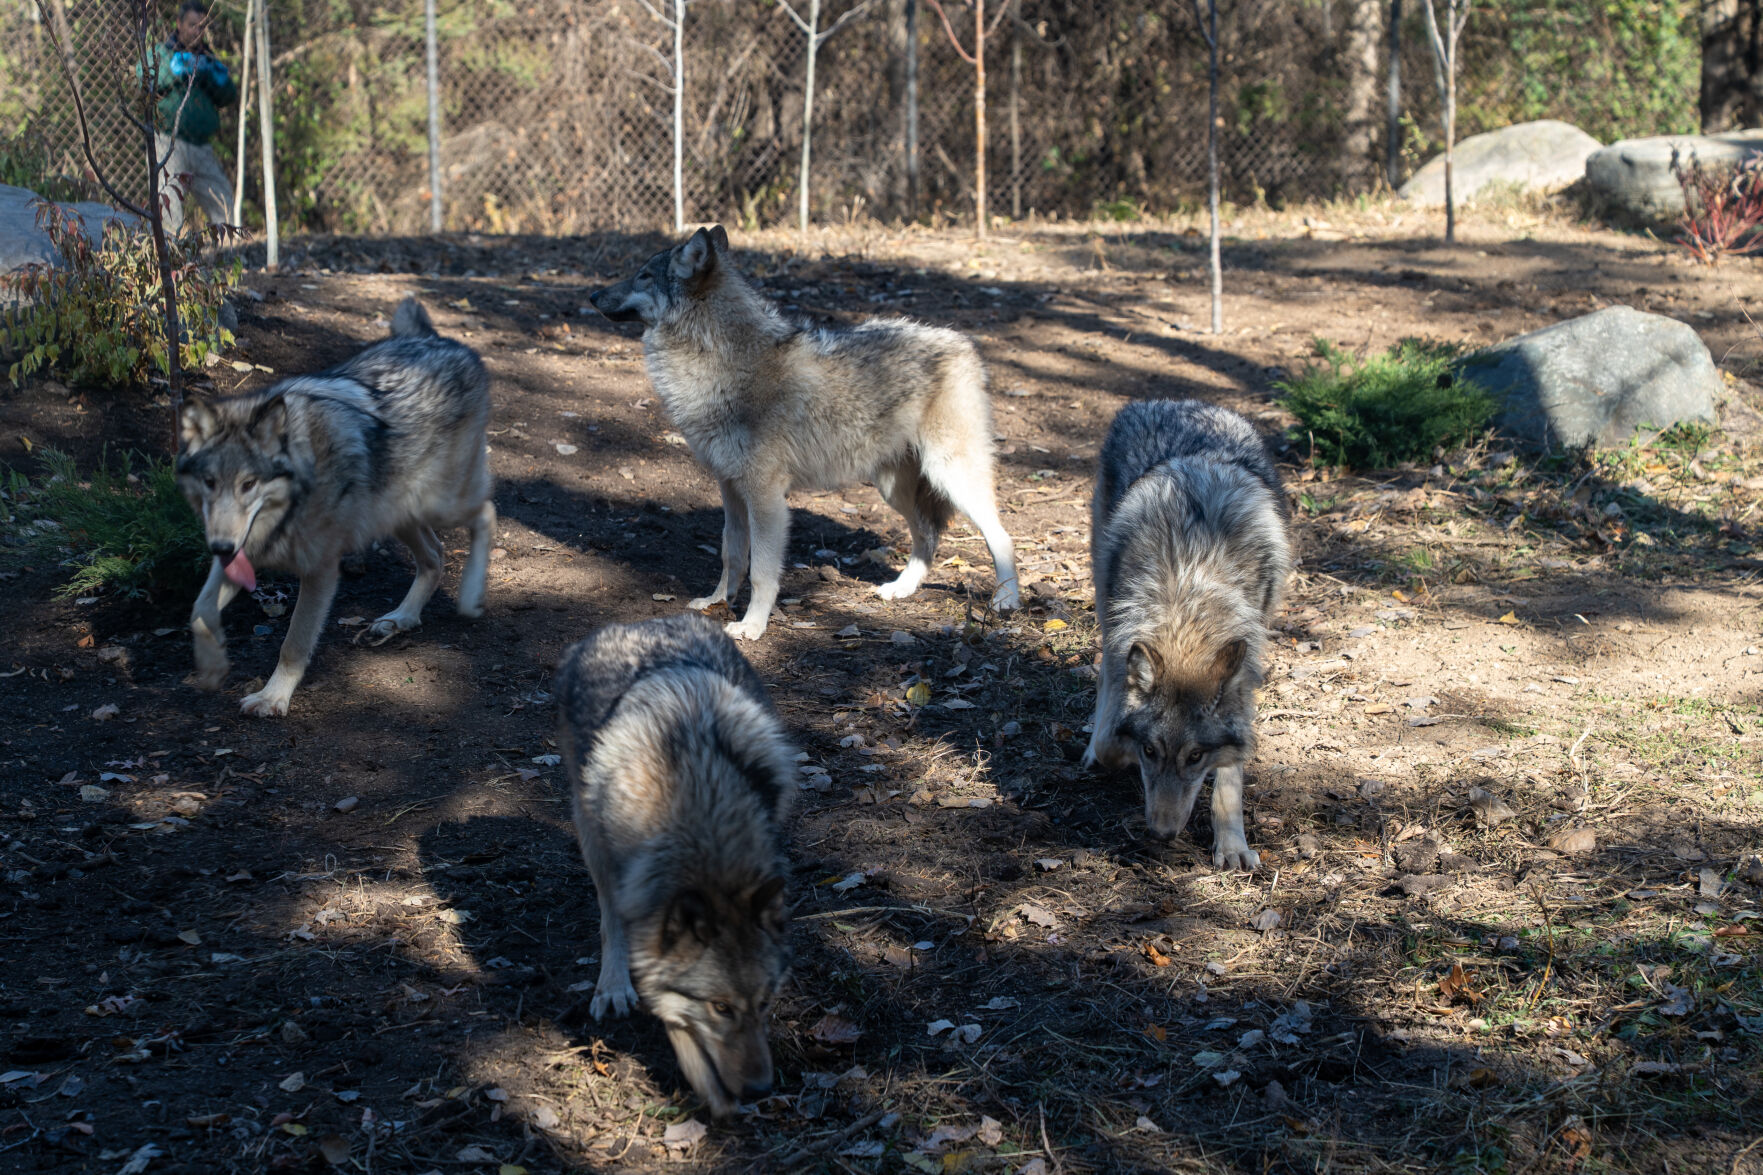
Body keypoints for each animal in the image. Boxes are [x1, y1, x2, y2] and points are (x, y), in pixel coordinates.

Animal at [176, 298, 495, 717]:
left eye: (249, 484)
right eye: (210, 483)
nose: (221, 547)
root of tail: (438, 339)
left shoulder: (320, 571)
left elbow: (293, 644)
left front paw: (272, 697)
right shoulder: (240, 556)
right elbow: (198, 611)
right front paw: (213, 668)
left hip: (441, 504)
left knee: (486, 513)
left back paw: (470, 596)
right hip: (396, 513)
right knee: (436, 555)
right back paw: (400, 619)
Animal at [555, 613, 797, 1118]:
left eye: (766, 1003)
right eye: (721, 1008)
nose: (762, 1089)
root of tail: (643, 622)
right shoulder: (639, 884)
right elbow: (669, 1006)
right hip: (590, 833)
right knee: (609, 921)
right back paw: (612, 985)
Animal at [589, 225, 1019, 640]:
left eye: (644, 276)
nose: (592, 295)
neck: (719, 361)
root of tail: (963, 344)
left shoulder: (766, 496)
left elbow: (762, 571)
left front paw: (751, 626)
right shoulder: (730, 487)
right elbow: (731, 553)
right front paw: (717, 601)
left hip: (950, 476)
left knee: (1000, 536)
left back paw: (1005, 602)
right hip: (894, 487)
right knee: (927, 536)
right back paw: (901, 589)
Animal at [1083, 400, 1291, 871]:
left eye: (1195, 756)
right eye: (1152, 752)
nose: (1161, 834)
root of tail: (1175, 402)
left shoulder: (1243, 677)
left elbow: (1230, 778)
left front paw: (1231, 845)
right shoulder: (1125, 639)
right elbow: (1110, 740)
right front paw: (1115, 749)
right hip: (1105, 598)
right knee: (1102, 677)